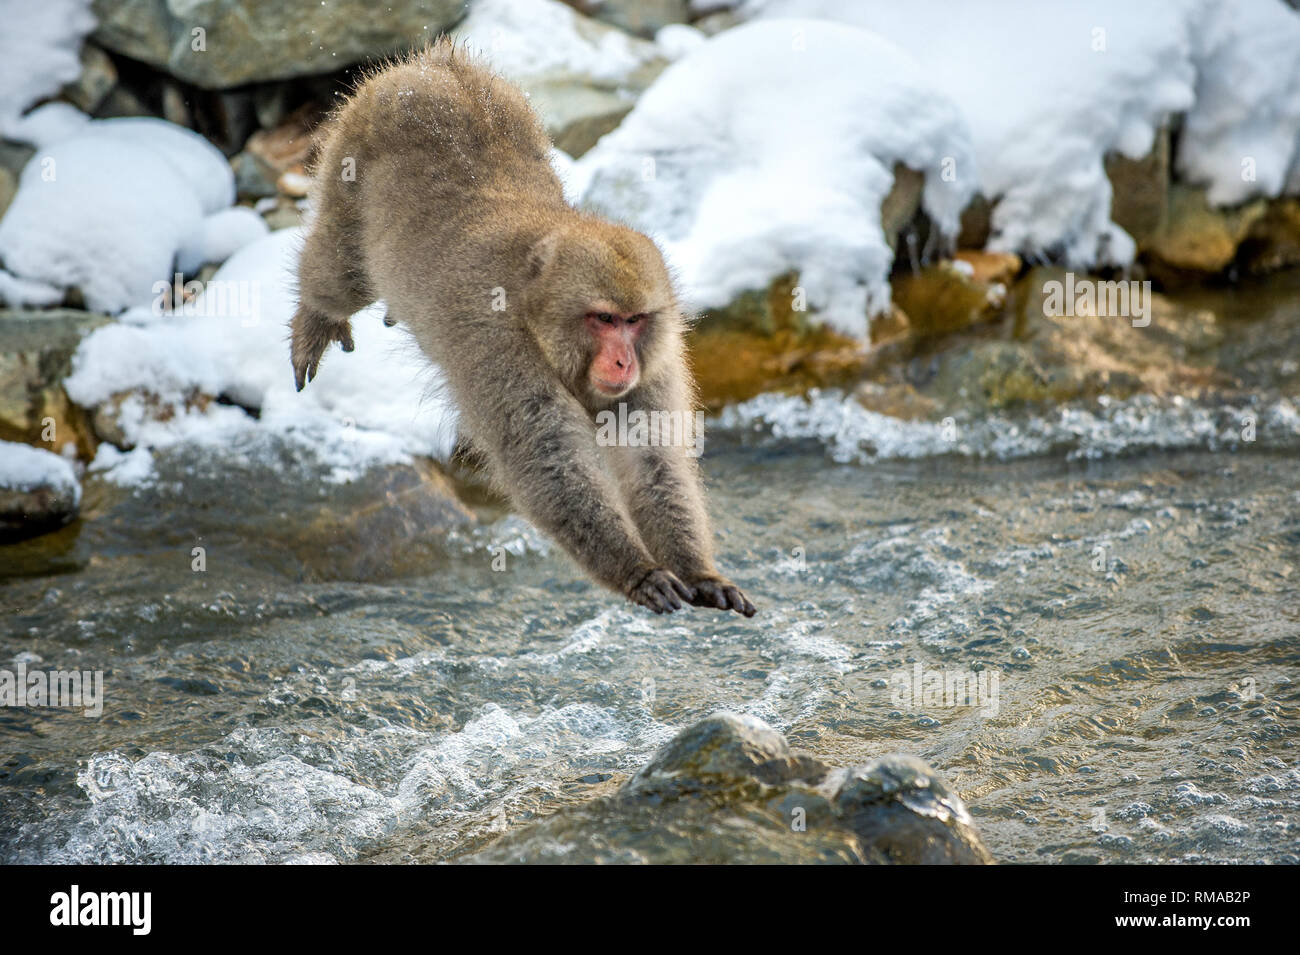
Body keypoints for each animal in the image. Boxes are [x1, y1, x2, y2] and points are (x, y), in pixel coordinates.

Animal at [290, 40, 755, 617]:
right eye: (603, 319)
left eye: (634, 321)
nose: (622, 360)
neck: (536, 316)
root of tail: (436, 66)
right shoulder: (499, 350)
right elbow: (546, 461)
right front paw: (640, 572)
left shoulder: (657, 363)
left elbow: (653, 460)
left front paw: (698, 571)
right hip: (352, 156)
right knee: (341, 272)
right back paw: (315, 316)